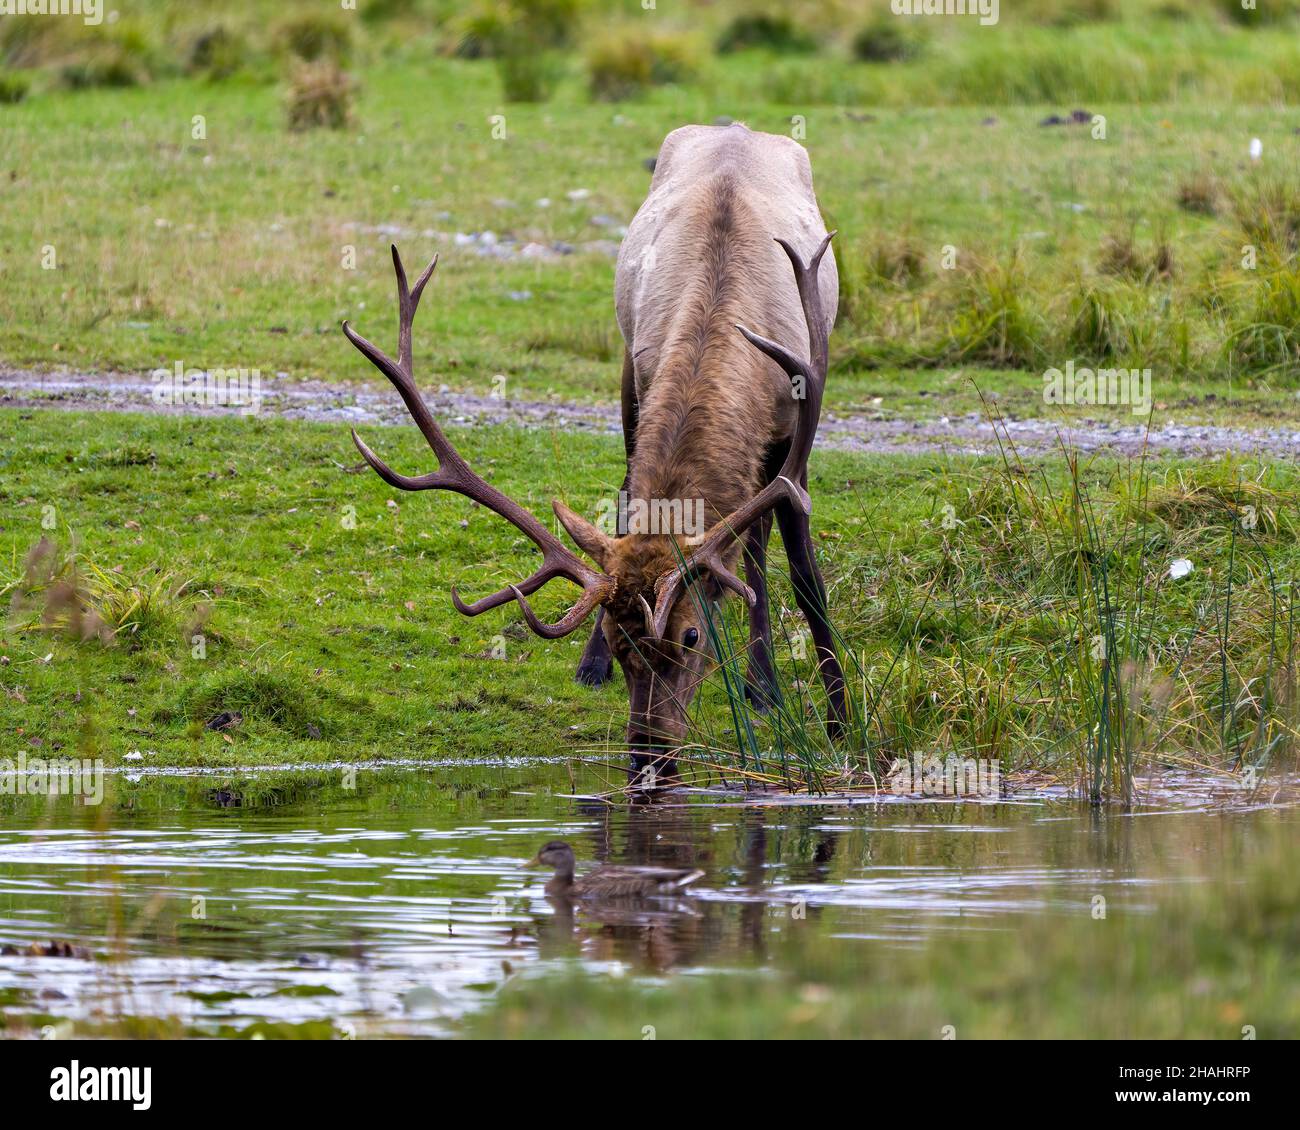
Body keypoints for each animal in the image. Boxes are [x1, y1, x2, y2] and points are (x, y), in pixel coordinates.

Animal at [344, 124, 846, 785]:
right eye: (615, 632)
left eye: (691, 637)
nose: (647, 753)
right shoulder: (637, 374)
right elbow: (631, 503)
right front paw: (594, 661)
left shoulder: (800, 417)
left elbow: (805, 572)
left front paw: (841, 717)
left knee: (757, 544)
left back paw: (763, 688)